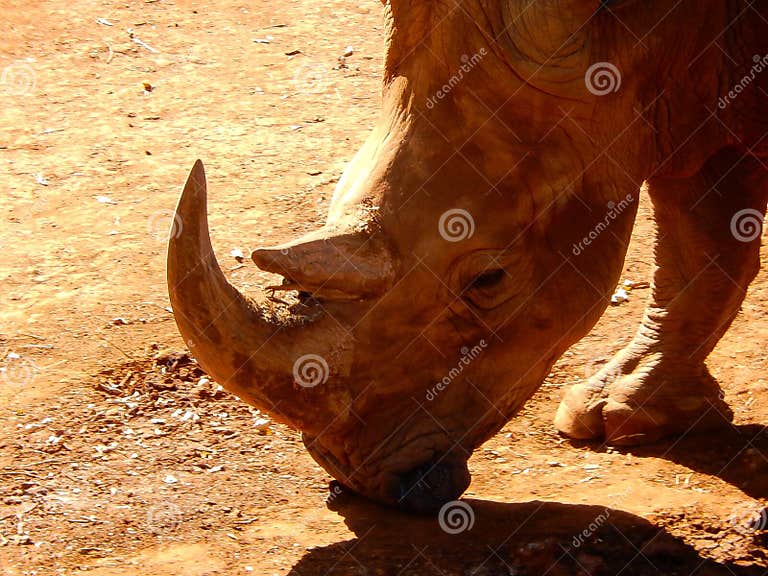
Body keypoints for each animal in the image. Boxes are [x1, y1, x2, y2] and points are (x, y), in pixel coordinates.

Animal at [167, 0, 768, 512]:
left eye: (489, 279)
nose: (356, 478)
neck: (642, 27)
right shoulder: (682, 94)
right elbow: (700, 240)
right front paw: (622, 414)